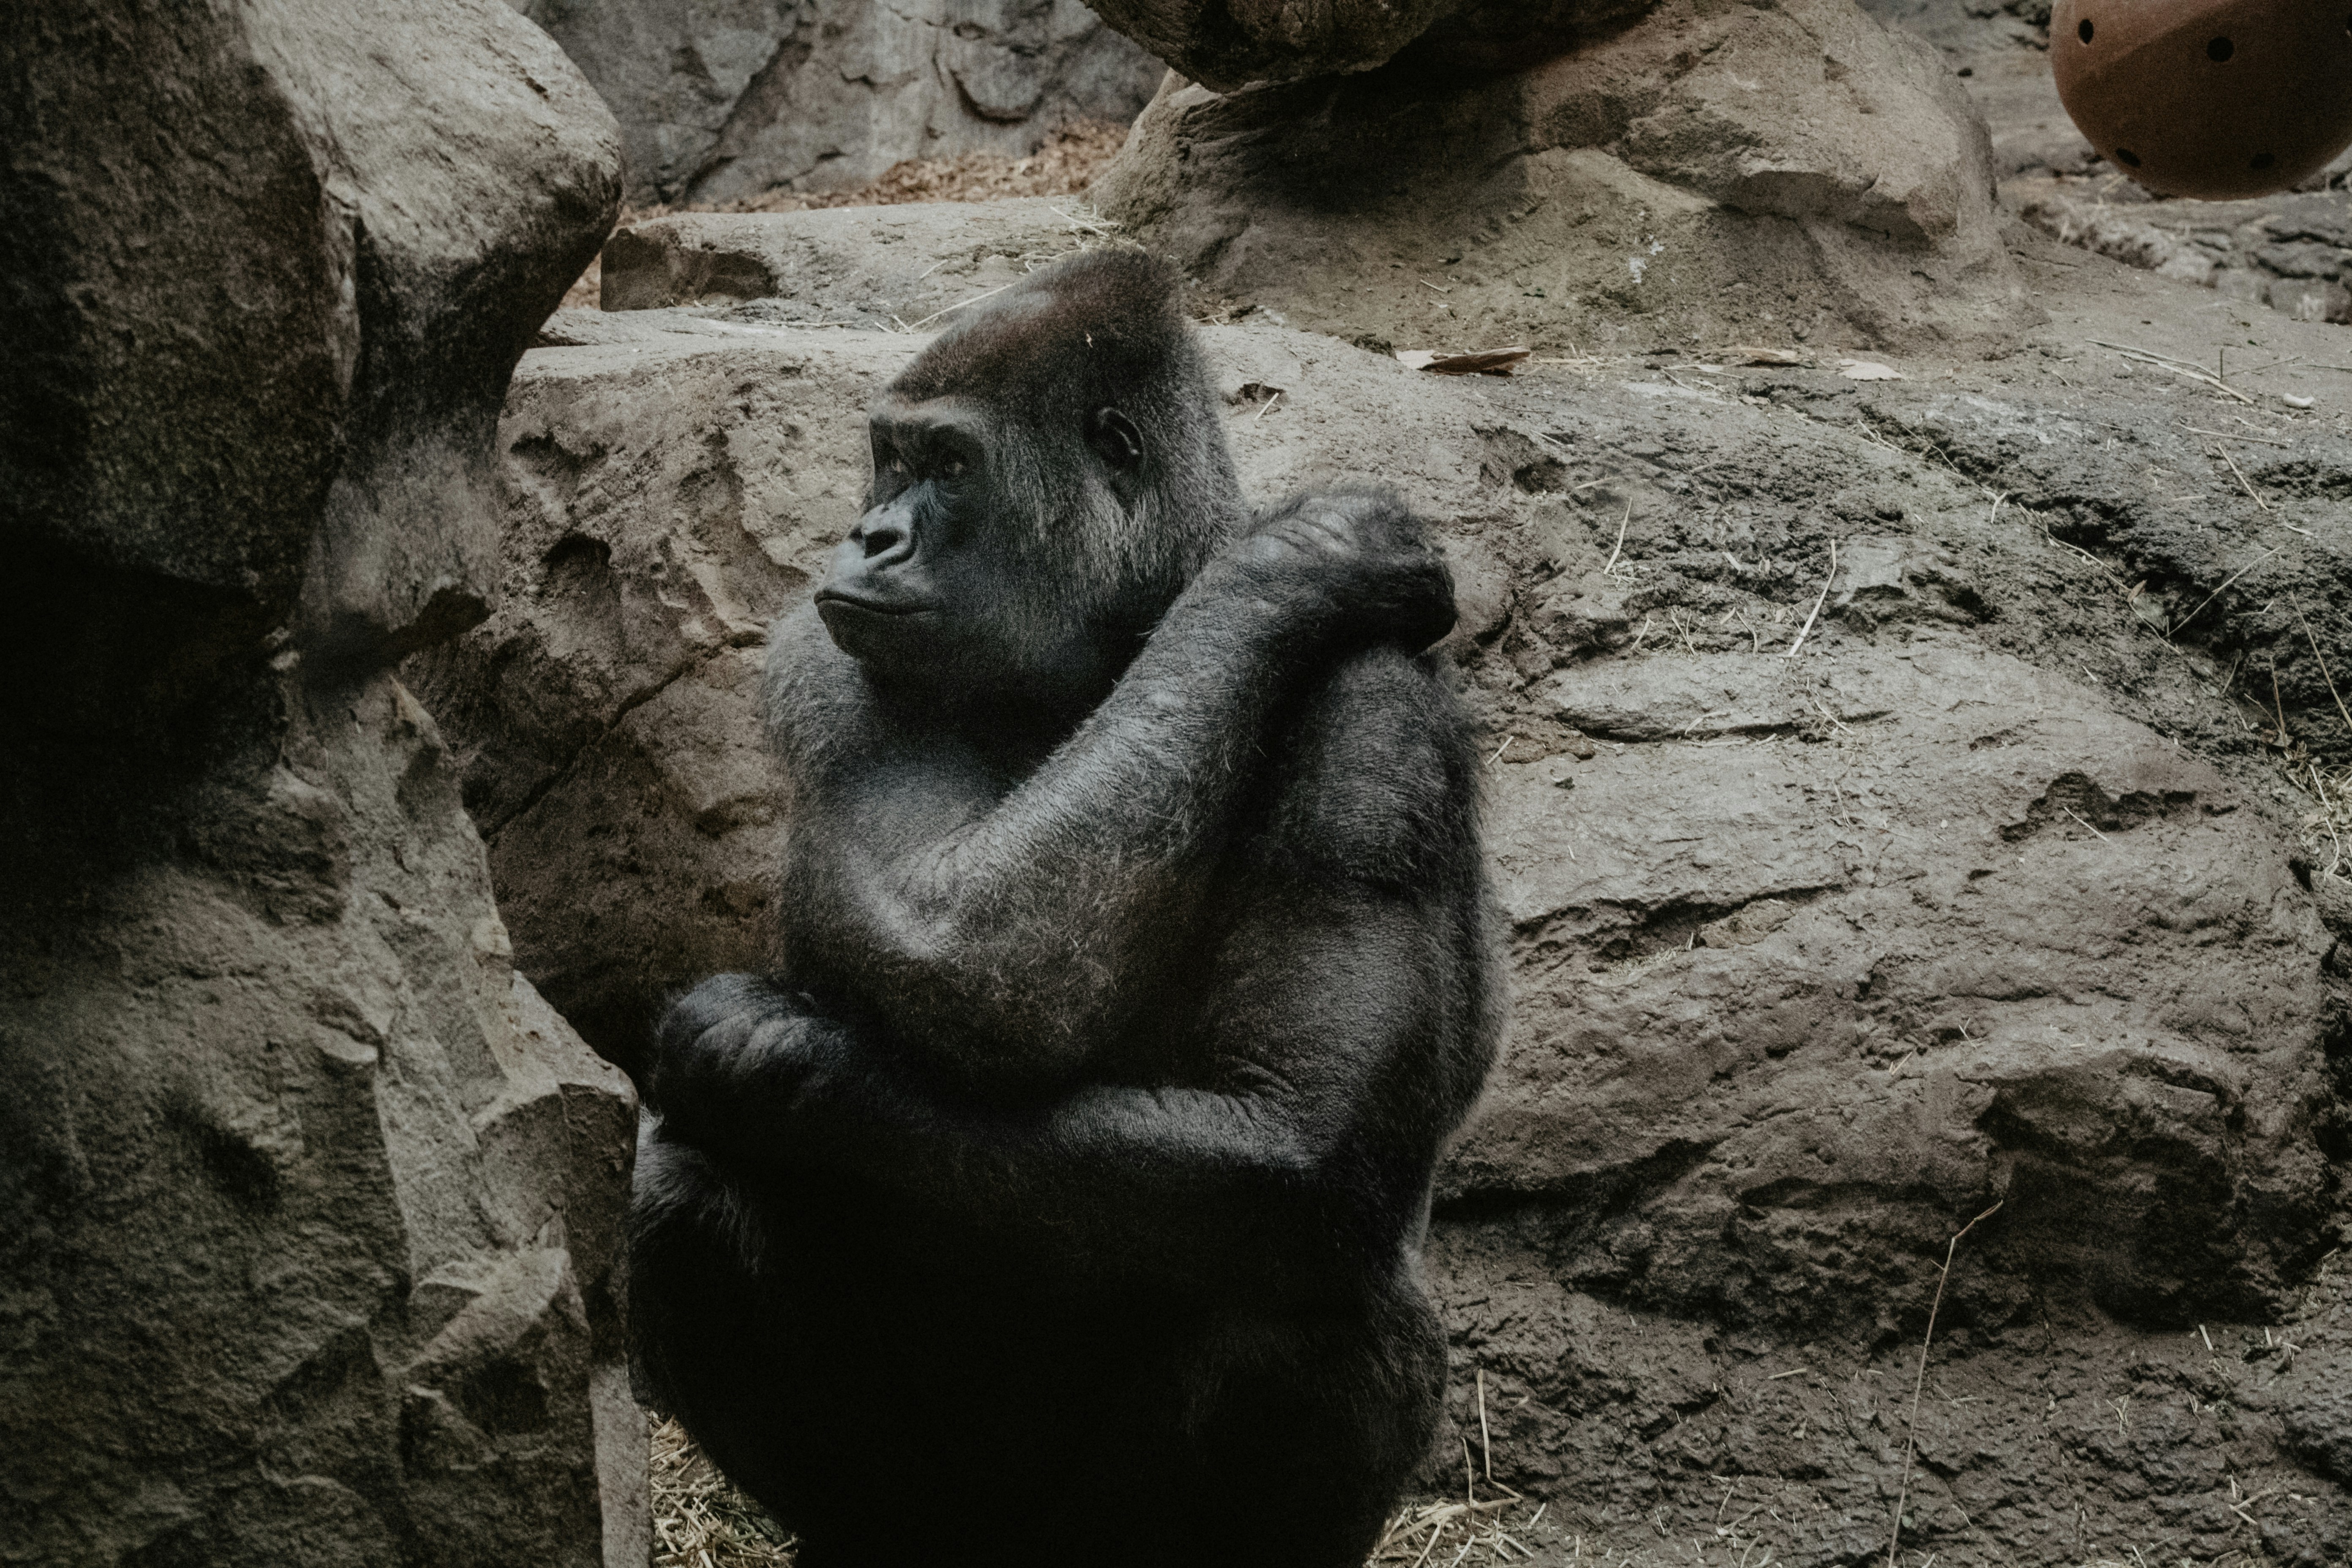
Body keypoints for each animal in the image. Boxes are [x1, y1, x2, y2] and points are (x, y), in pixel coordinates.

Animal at [627, 248, 1501, 1568]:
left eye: (947, 467)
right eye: (887, 458)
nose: (870, 534)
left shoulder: (1378, 711)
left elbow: (1300, 1132)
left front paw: (763, 1048)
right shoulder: (828, 661)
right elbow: (954, 938)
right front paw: (1296, 564)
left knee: (1304, 1279)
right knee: (685, 1200)